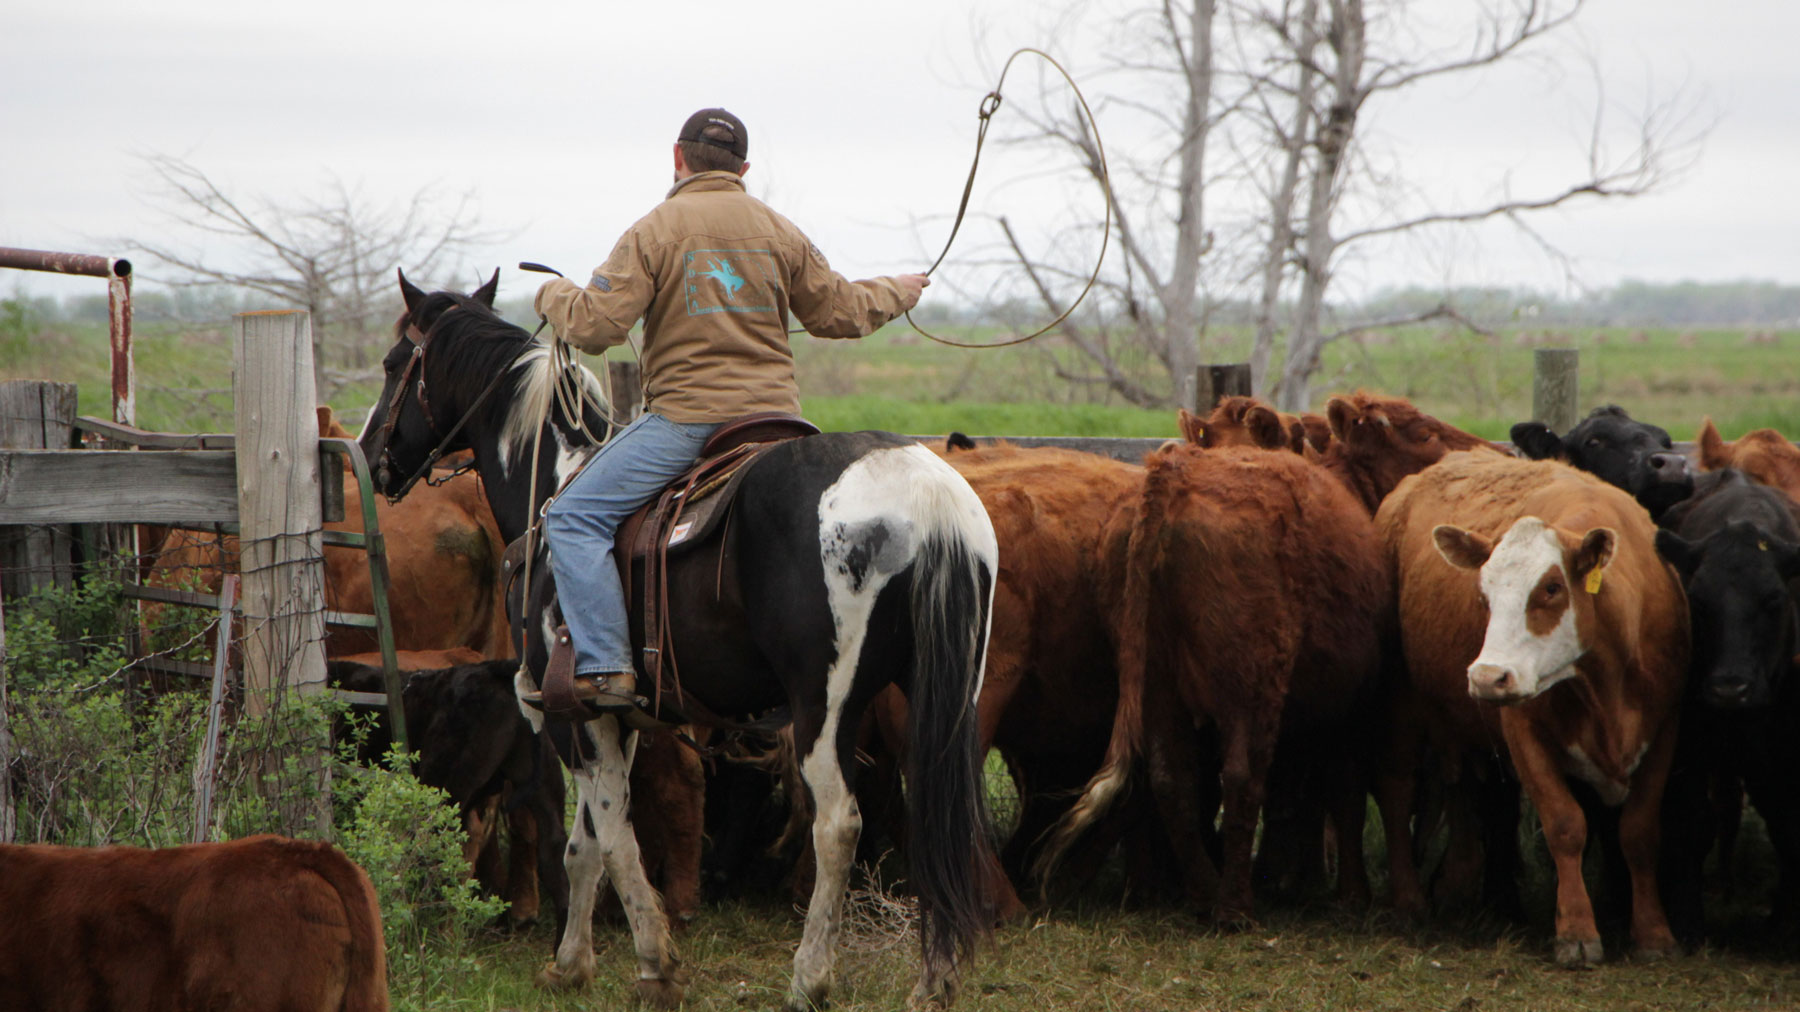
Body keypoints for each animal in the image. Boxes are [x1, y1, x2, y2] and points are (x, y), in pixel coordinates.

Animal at [358, 270, 998, 1010]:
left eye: (393, 364)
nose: (371, 457)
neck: (555, 483)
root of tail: (925, 492)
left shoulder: (570, 711)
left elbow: (613, 837)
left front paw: (654, 964)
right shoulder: (615, 716)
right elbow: (585, 844)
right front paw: (570, 964)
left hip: (826, 706)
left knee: (837, 822)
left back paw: (810, 976)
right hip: (943, 696)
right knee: (940, 815)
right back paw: (935, 981)